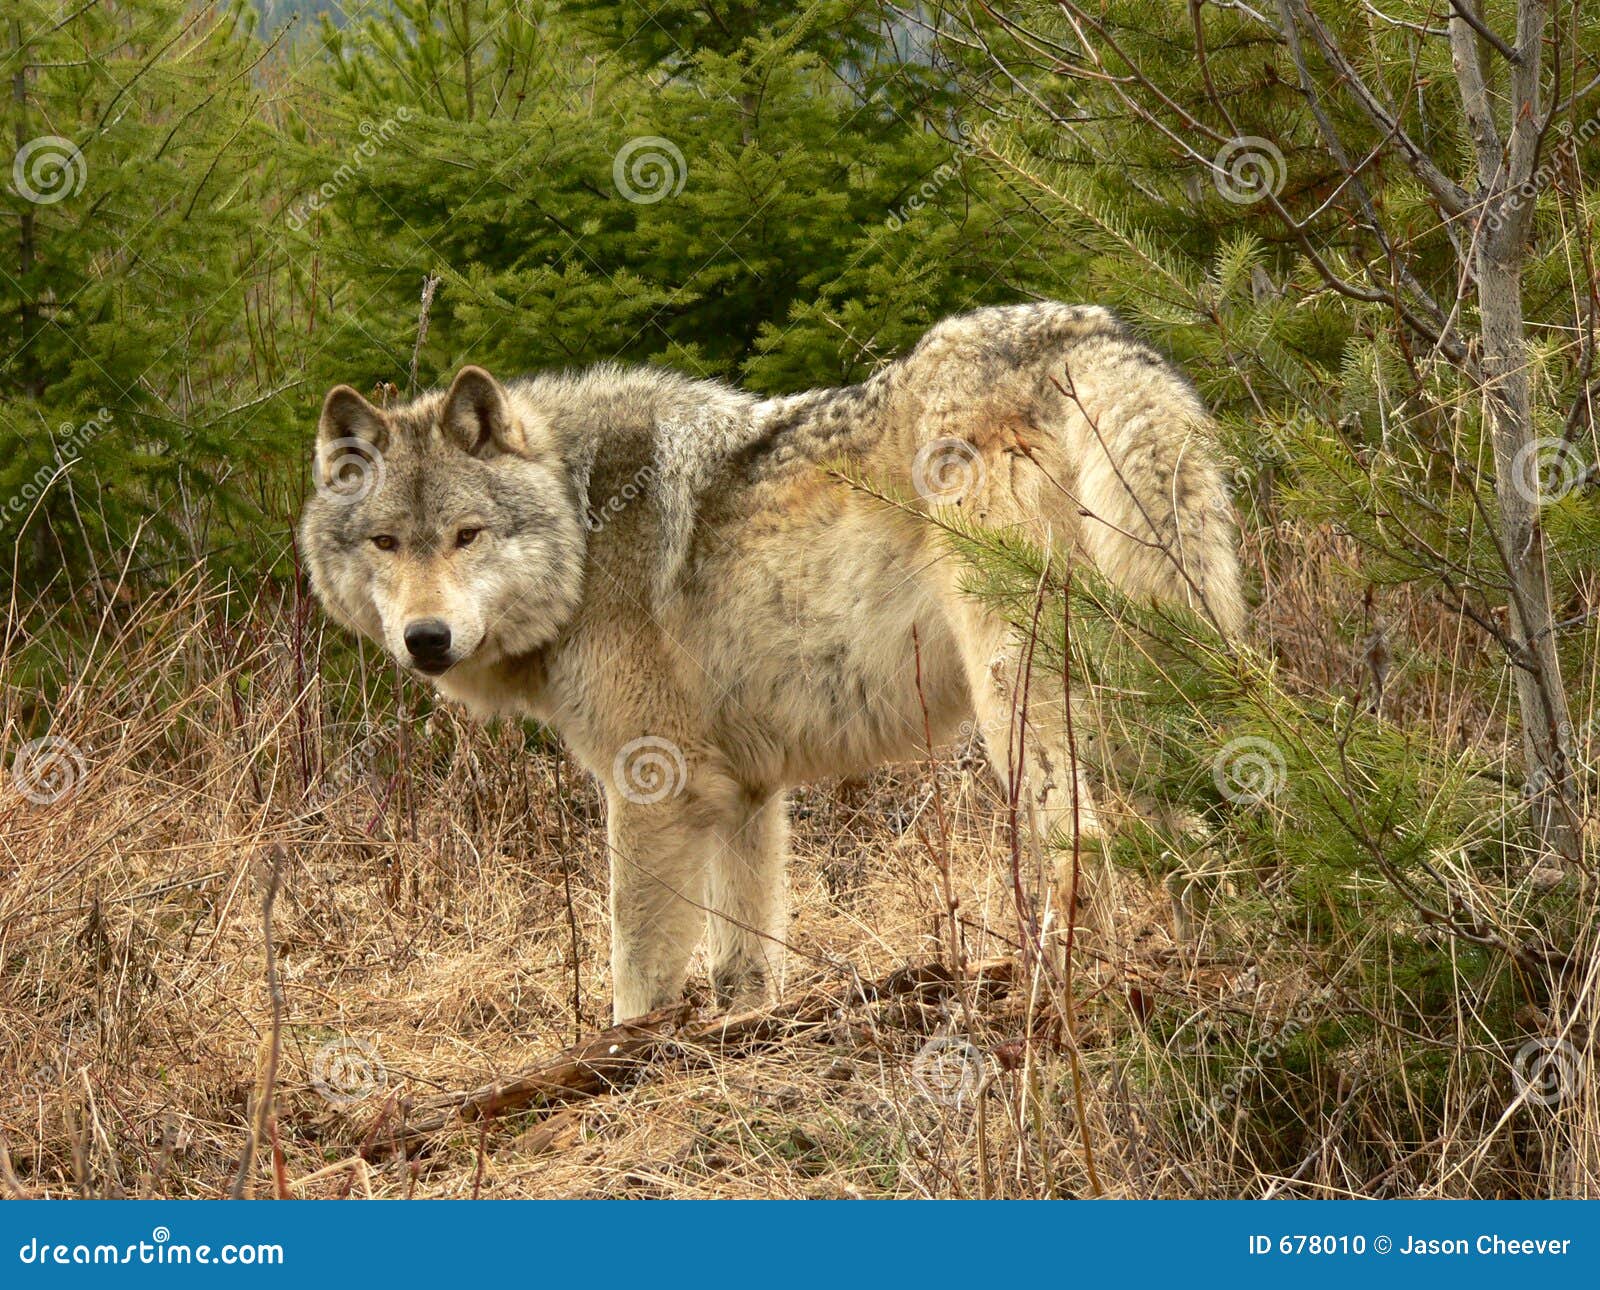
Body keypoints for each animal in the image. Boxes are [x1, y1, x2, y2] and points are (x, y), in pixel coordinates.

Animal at [298, 303, 1245, 1021]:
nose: (425, 638)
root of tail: (1083, 332)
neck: (583, 525)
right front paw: (743, 1036)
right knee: (1194, 828)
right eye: (386, 542)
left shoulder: (657, 784)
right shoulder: (745, 794)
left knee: (1087, 844)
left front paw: (620, 1064)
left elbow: (636, 974)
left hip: (1018, 702)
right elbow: (745, 963)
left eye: (467, 535)